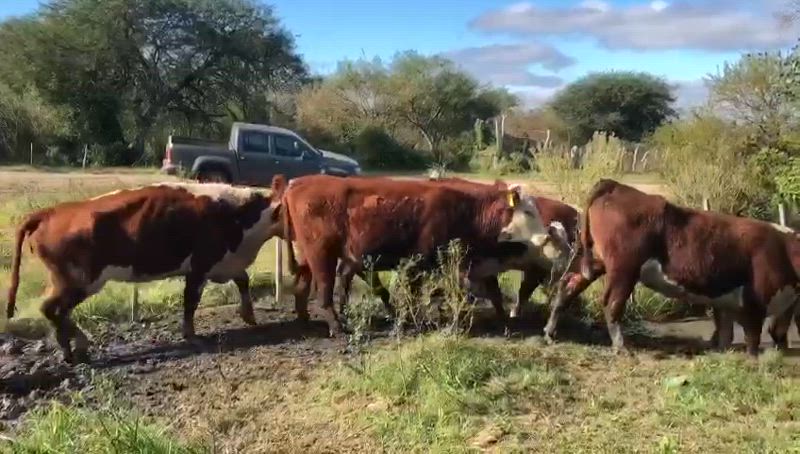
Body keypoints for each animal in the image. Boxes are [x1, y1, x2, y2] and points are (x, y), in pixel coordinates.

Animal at [6, 179, 287, 364]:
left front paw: (249, 314)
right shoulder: (200, 266)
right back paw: (78, 346)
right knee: (50, 308)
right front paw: (191, 335)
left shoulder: (224, 264)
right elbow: (190, 301)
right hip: (78, 280)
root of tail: (52, 211)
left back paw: (70, 349)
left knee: (57, 312)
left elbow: (243, 280)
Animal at [275, 174, 559, 337]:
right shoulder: (416, 264)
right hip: (321, 254)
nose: (545, 236)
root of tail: (297, 183)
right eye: (528, 212)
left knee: (305, 286)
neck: (465, 210)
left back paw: (306, 320)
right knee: (324, 292)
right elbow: (412, 297)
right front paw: (410, 323)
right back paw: (336, 327)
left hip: (317, 256)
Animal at [501, 179, 800, 357]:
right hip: (624, 269)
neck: (785, 249)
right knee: (611, 304)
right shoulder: (755, 302)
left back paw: (550, 332)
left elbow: (727, 331)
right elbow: (752, 336)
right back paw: (621, 347)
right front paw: (754, 359)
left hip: (595, 263)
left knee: (567, 288)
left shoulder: (726, 302)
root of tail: (614, 185)